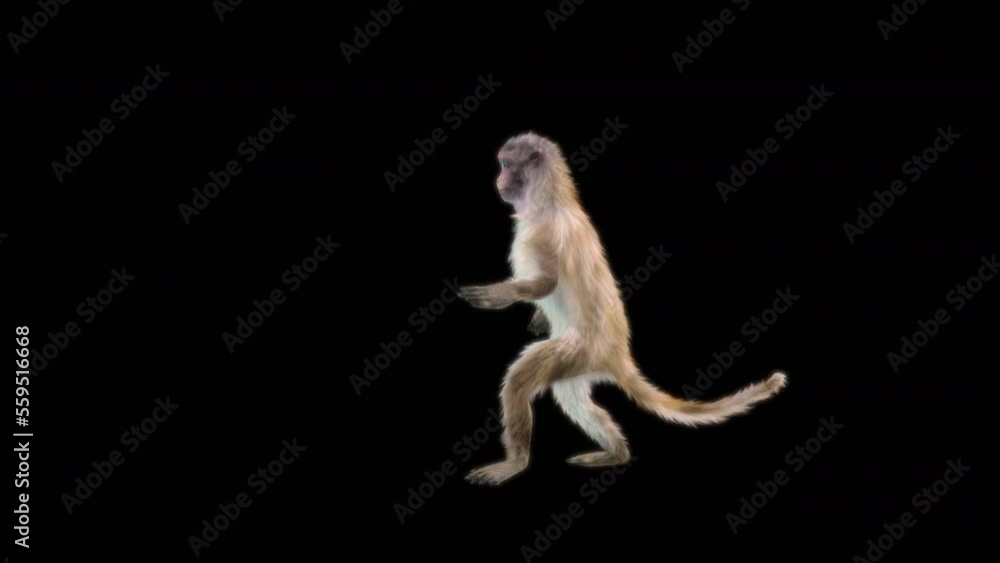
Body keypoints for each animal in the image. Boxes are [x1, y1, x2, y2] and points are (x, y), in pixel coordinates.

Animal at [457, 131, 788, 486]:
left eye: (506, 165)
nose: (499, 179)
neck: (551, 200)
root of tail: (617, 353)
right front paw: (537, 317)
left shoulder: (546, 232)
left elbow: (545, 284)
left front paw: (498, 296)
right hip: (582, 361)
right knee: (571, 396)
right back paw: (616, 454)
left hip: (581, 347)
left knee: (520, 381)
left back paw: (517, 462)